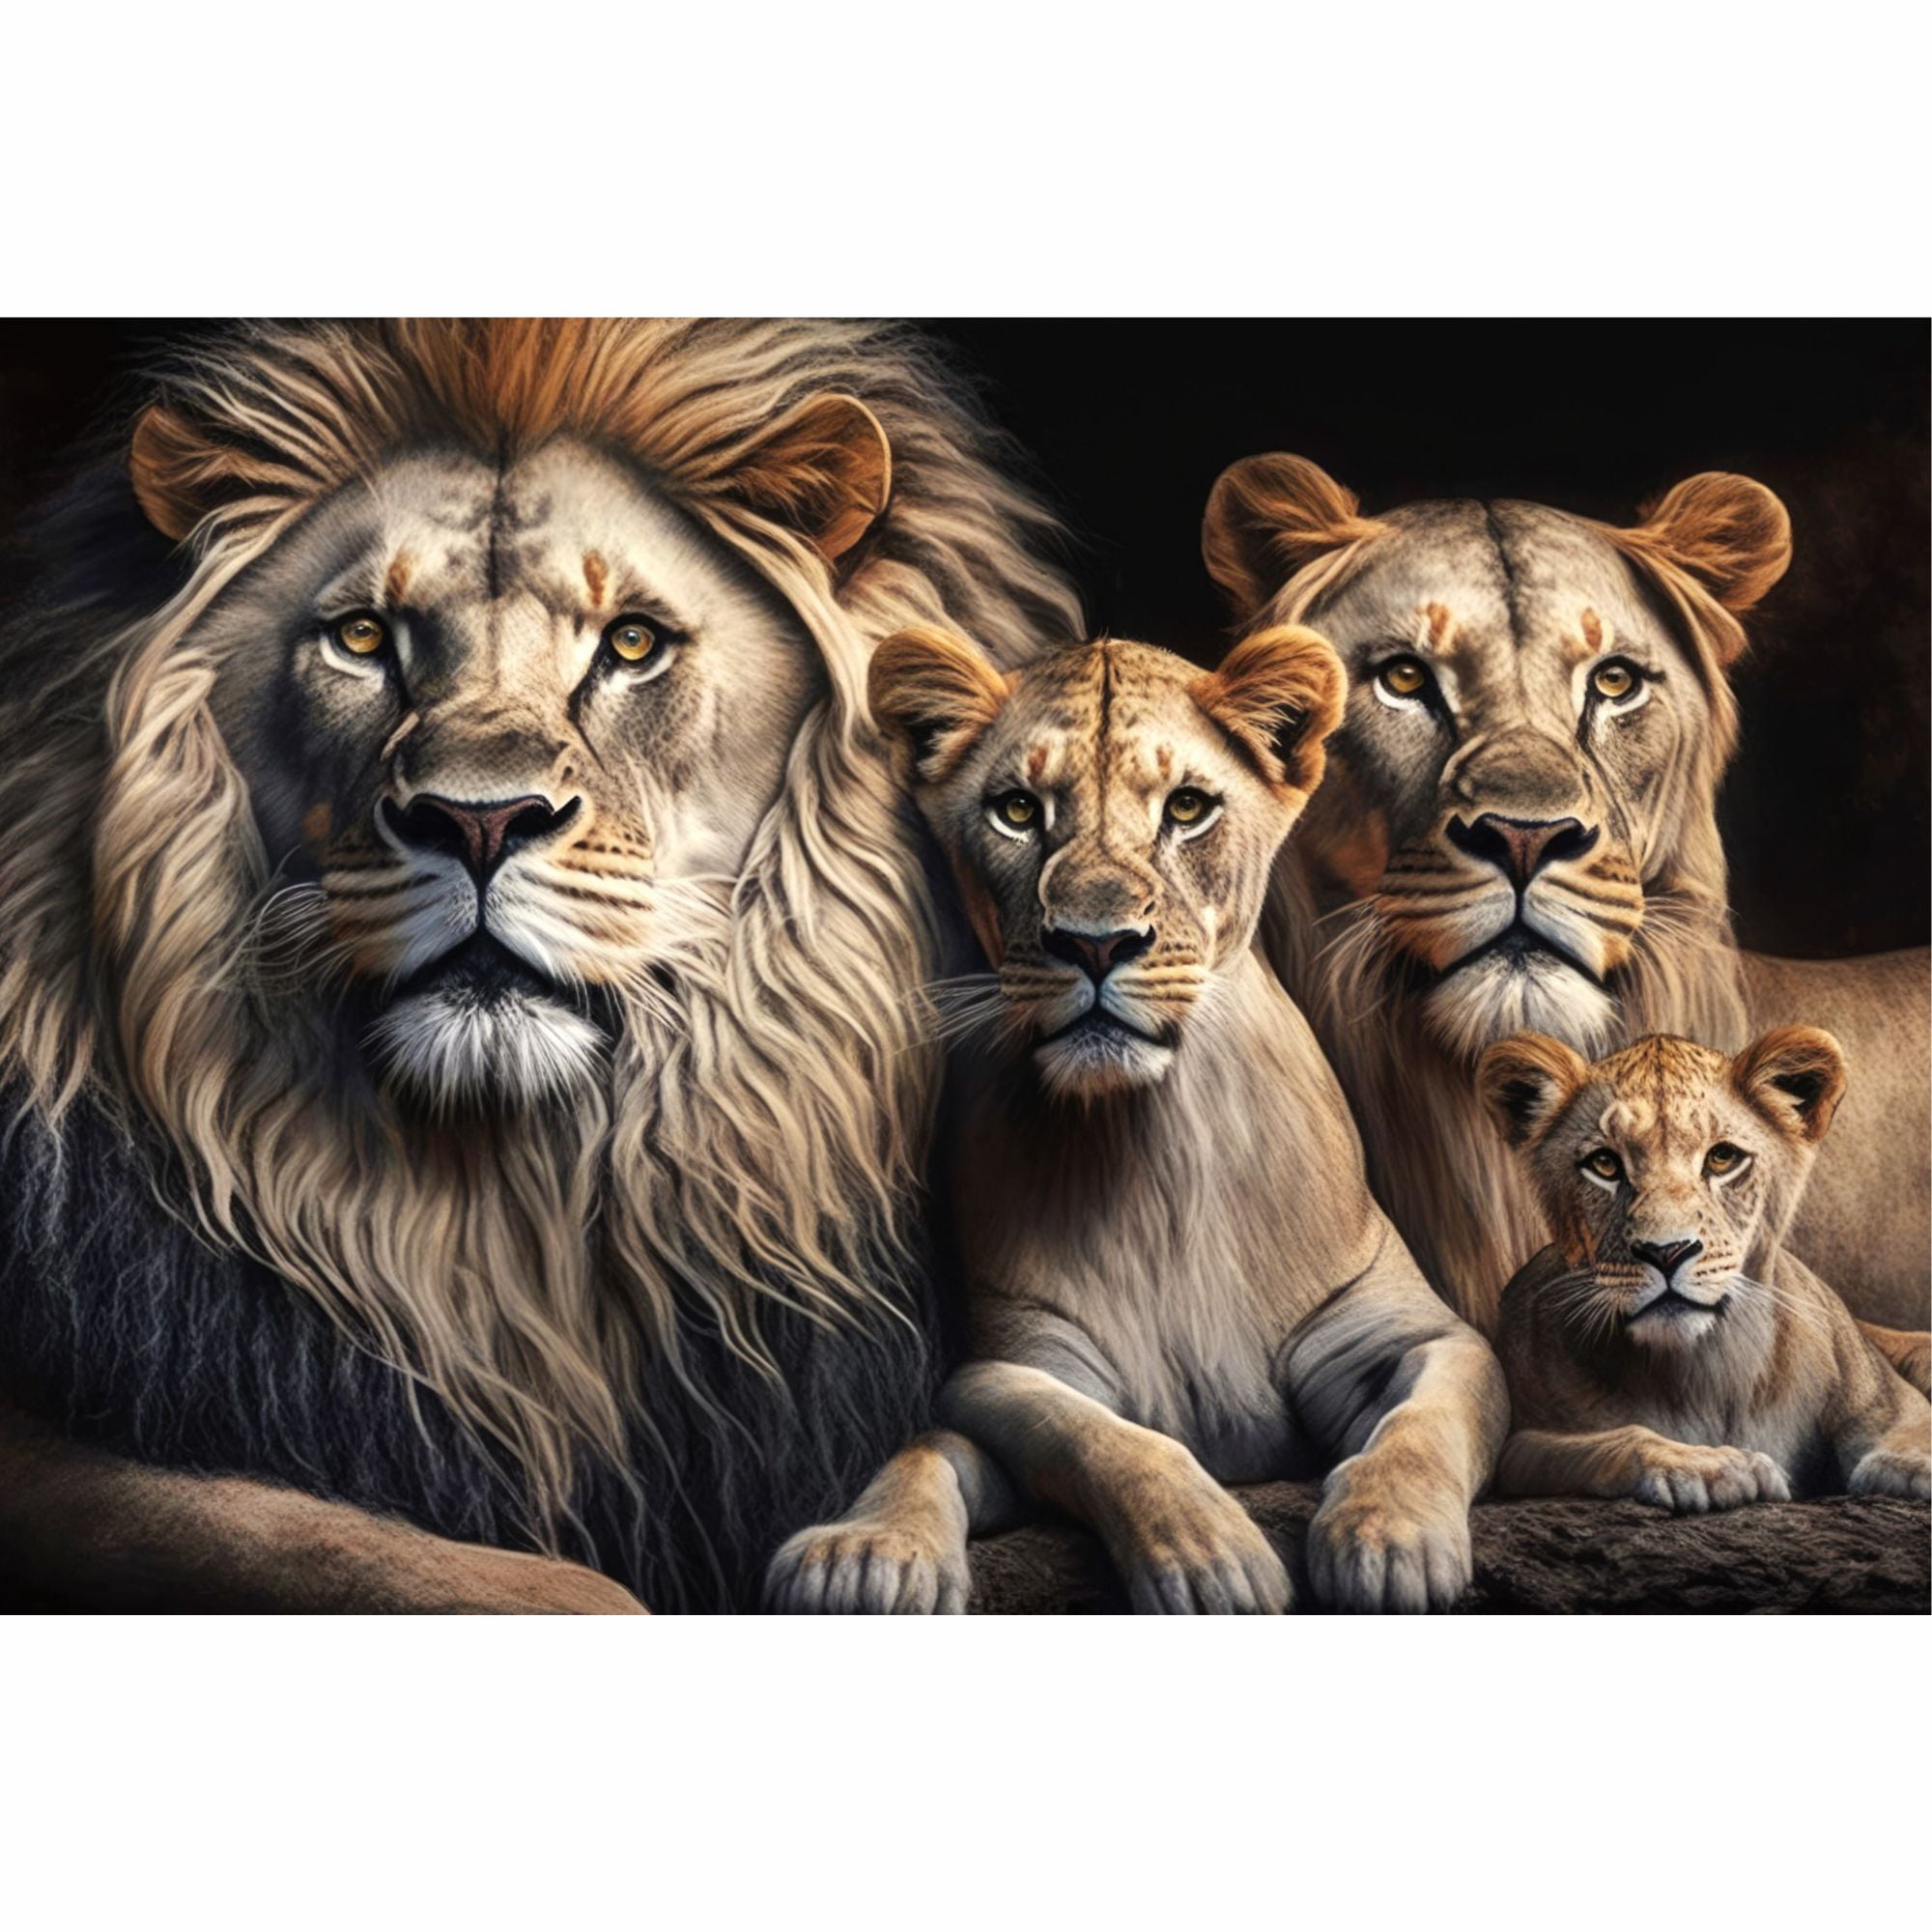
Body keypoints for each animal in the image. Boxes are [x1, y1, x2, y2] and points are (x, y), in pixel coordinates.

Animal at [763, 630, 1509, 1614]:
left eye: (1187, 808)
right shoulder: (1016, 1366)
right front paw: (1211, 1562)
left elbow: (1427, 1420)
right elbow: (1080, 1441)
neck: (1159, 1151)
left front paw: (1390, 1540)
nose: (1095, 943)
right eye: (1016, 811)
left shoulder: (1409, 1333)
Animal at [1476, 1027, 1930, 1508]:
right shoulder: (1519, 1448)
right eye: (1604, 1164)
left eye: (1722, 1158)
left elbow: (1908, 1427)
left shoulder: (1892, 1400)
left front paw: (1914, 1464)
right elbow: (1621, 1440)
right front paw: (1712, 1464)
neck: (1708, 1369)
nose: (1666, 1252)